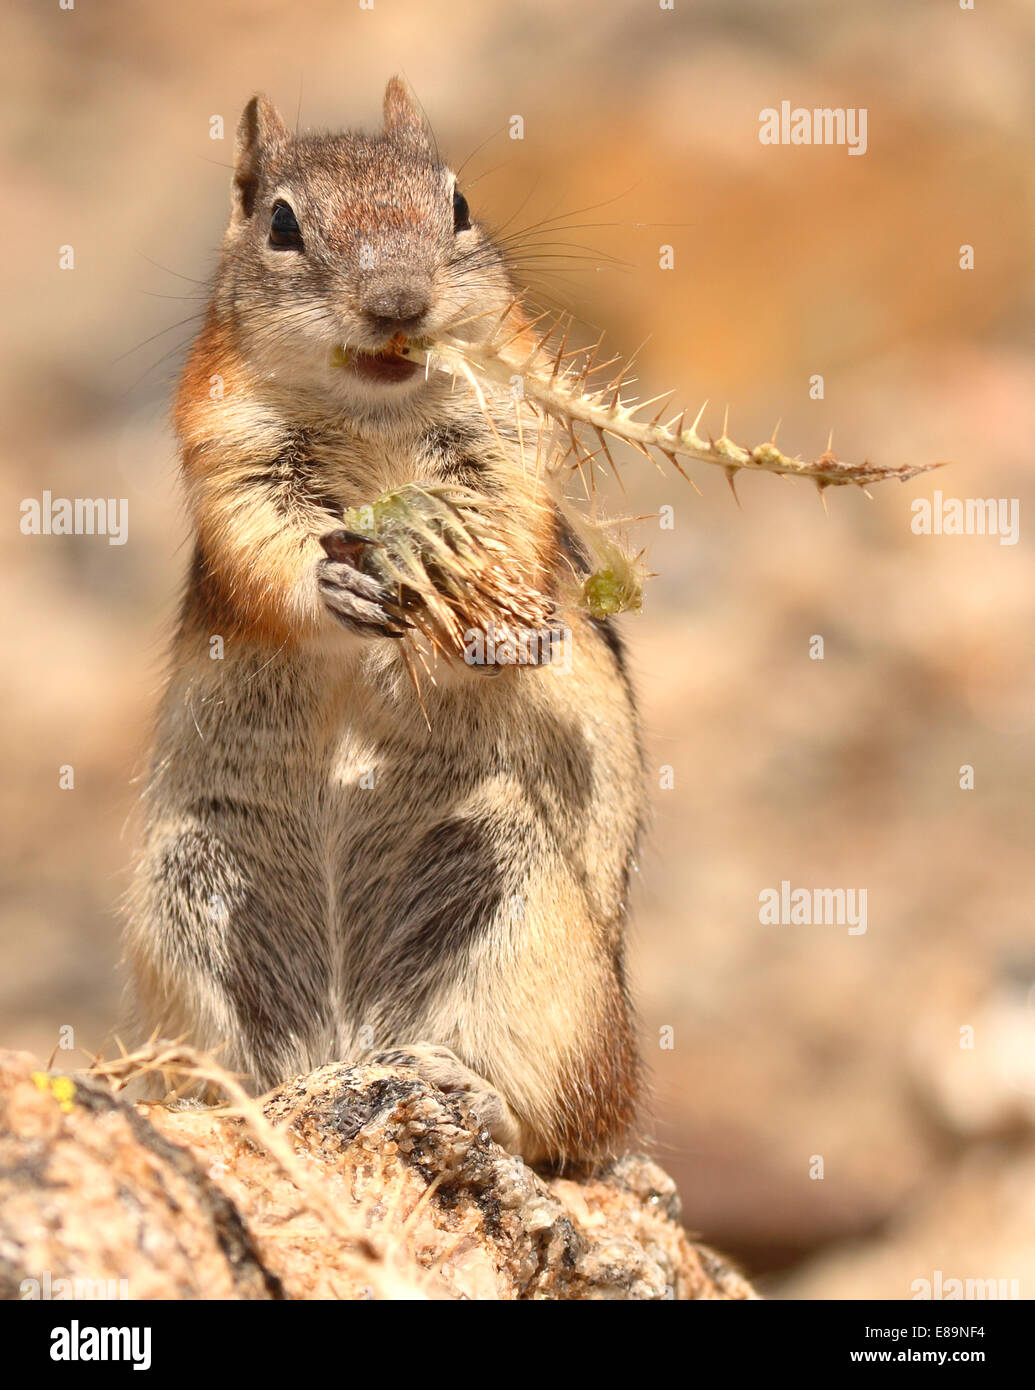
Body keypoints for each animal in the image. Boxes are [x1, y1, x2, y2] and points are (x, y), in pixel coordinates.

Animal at [125, 78, 645, 1169]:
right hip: (187, 895)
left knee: (561, 1125)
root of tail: (346, 1030)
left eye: (459, 205)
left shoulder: (511, 444)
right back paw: (224, 1101)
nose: (400, 304)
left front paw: (479, 633)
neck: (374, 417)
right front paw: (338, 590)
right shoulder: (228, 451)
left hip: (531, 933)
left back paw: (469, 1097)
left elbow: (507, 535)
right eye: (282, 224)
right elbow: (263, 551)